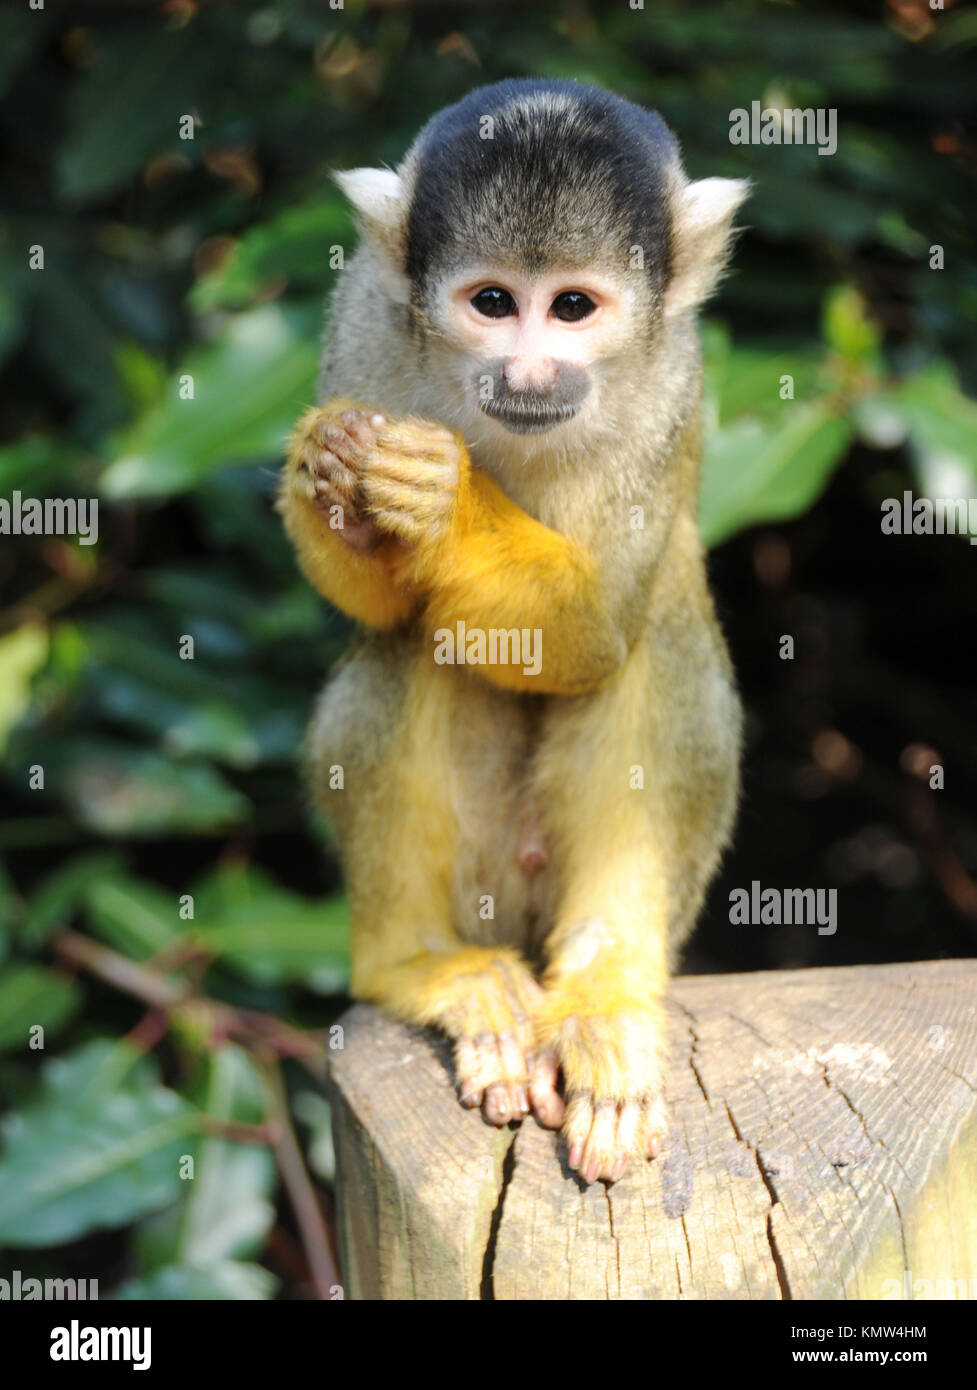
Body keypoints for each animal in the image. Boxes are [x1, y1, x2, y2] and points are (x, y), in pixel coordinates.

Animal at [279, 79, 747, 1184]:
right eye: (492, 303)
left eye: (571, 308)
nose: (529, 373)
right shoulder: (365, 319)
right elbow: (376, 610)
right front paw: (332, 473)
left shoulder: (671, 385)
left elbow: (589, 640)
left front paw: (444, 508)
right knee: (414, 649)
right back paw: (423, 967)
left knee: (653, 632)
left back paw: (605, 992)